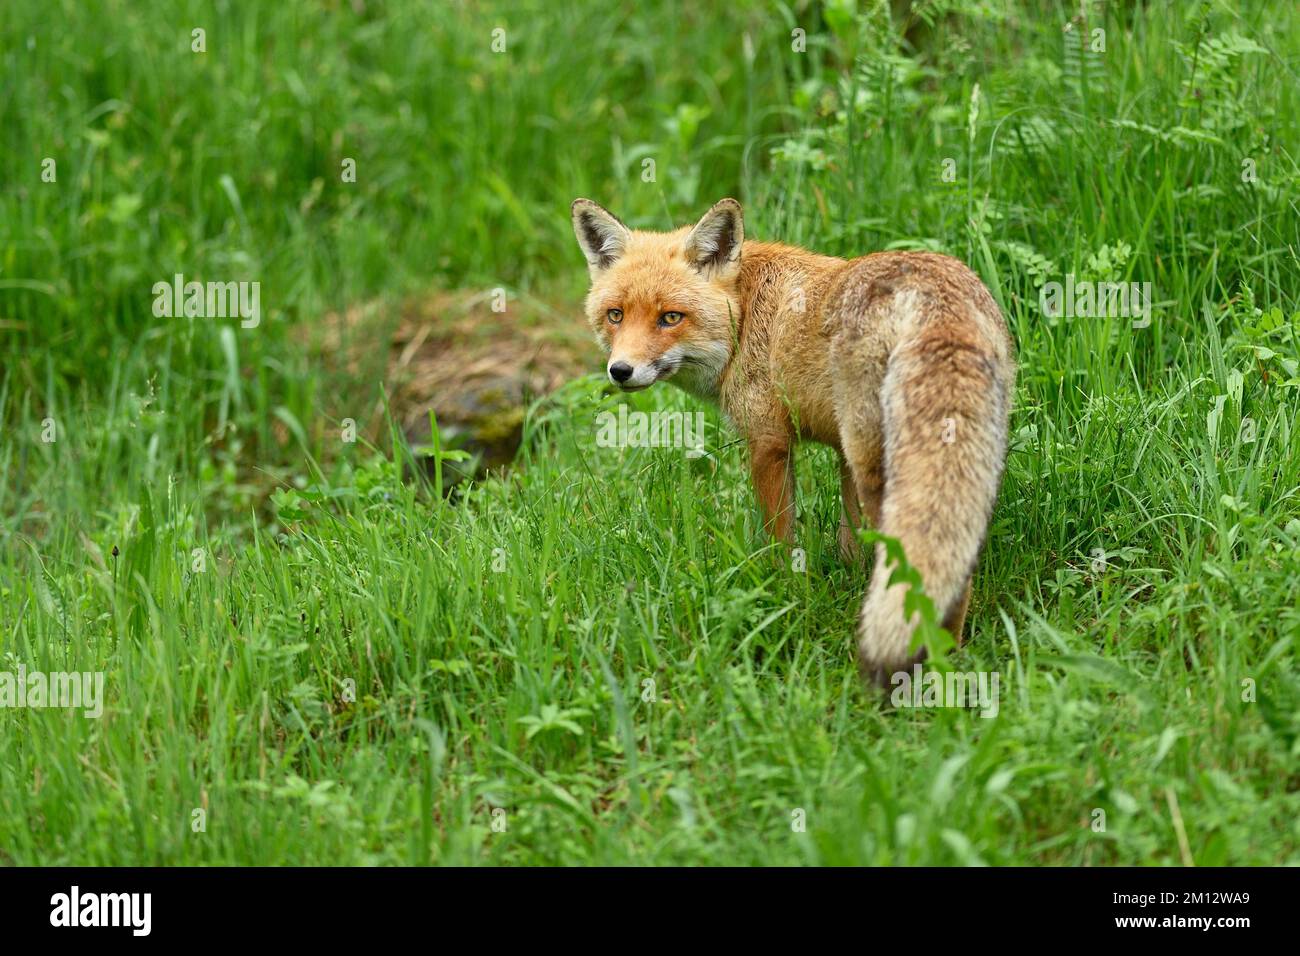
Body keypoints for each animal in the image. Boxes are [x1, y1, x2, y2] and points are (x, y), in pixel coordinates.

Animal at [570, 197, 1015, 683]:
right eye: (616, 315)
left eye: (670, 318)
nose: (620, 371)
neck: (744, 319)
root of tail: (938, 300)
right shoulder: (842, 451)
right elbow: (850, 538)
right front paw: (849, 580)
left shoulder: (769, 443)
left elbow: (780, 540)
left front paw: (782, 593)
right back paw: (948, 656)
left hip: (879, 466)